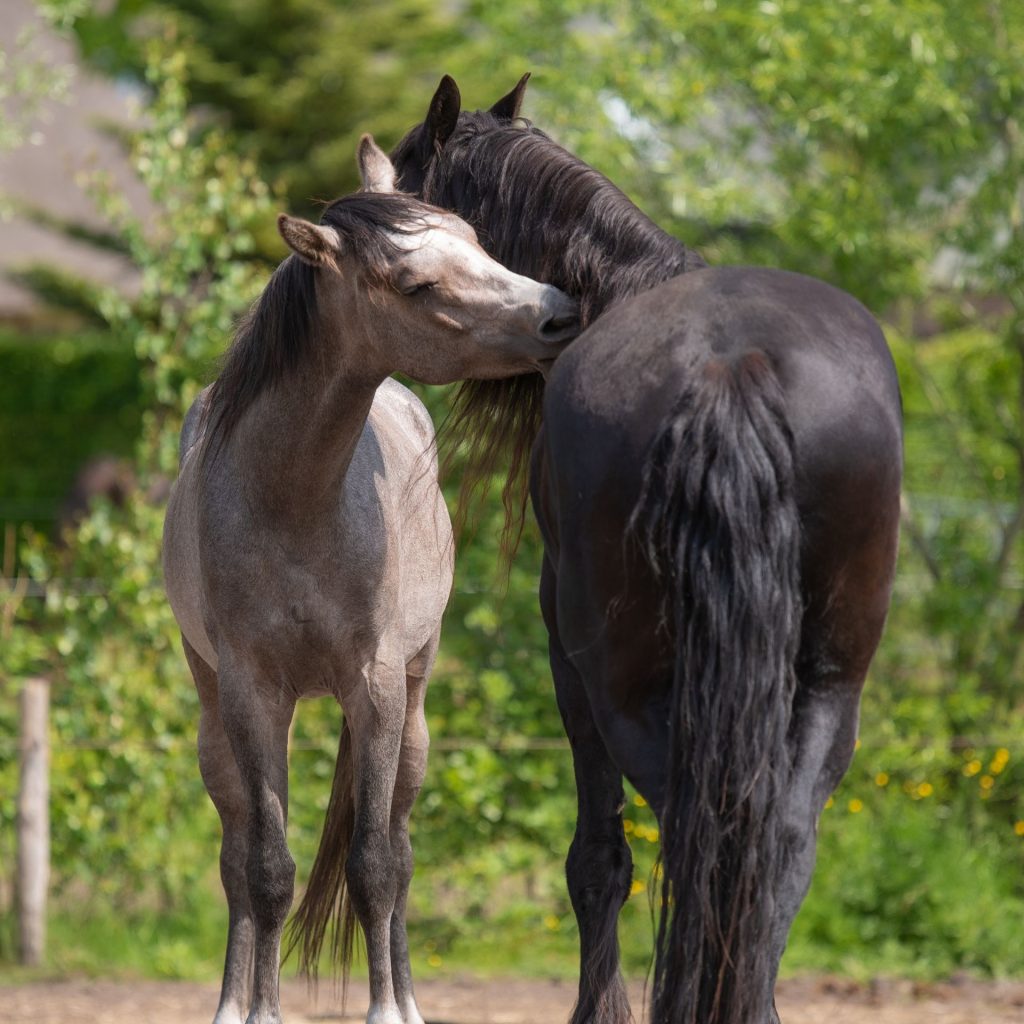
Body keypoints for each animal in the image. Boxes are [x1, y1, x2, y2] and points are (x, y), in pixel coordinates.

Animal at [161, 134, 580, 1024]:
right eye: (415, 283)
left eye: (478, 241)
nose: (560, 313)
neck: (295, 499)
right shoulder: (253, 693)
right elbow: (266, 869)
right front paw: (259, 1012)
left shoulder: (378, 686)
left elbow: (378, 864)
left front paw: (389, 1011)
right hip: (222, 719)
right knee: (240, 853)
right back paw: (234, 1000)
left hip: (413, 715)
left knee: (400, 847)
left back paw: (409, 998)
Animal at [390, 78, 903, 1024]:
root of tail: (732, 366)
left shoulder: (568, 663)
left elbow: (599, 858)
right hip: (830, 685)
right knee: (776, 840)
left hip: (623, 685)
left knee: (698, 834)